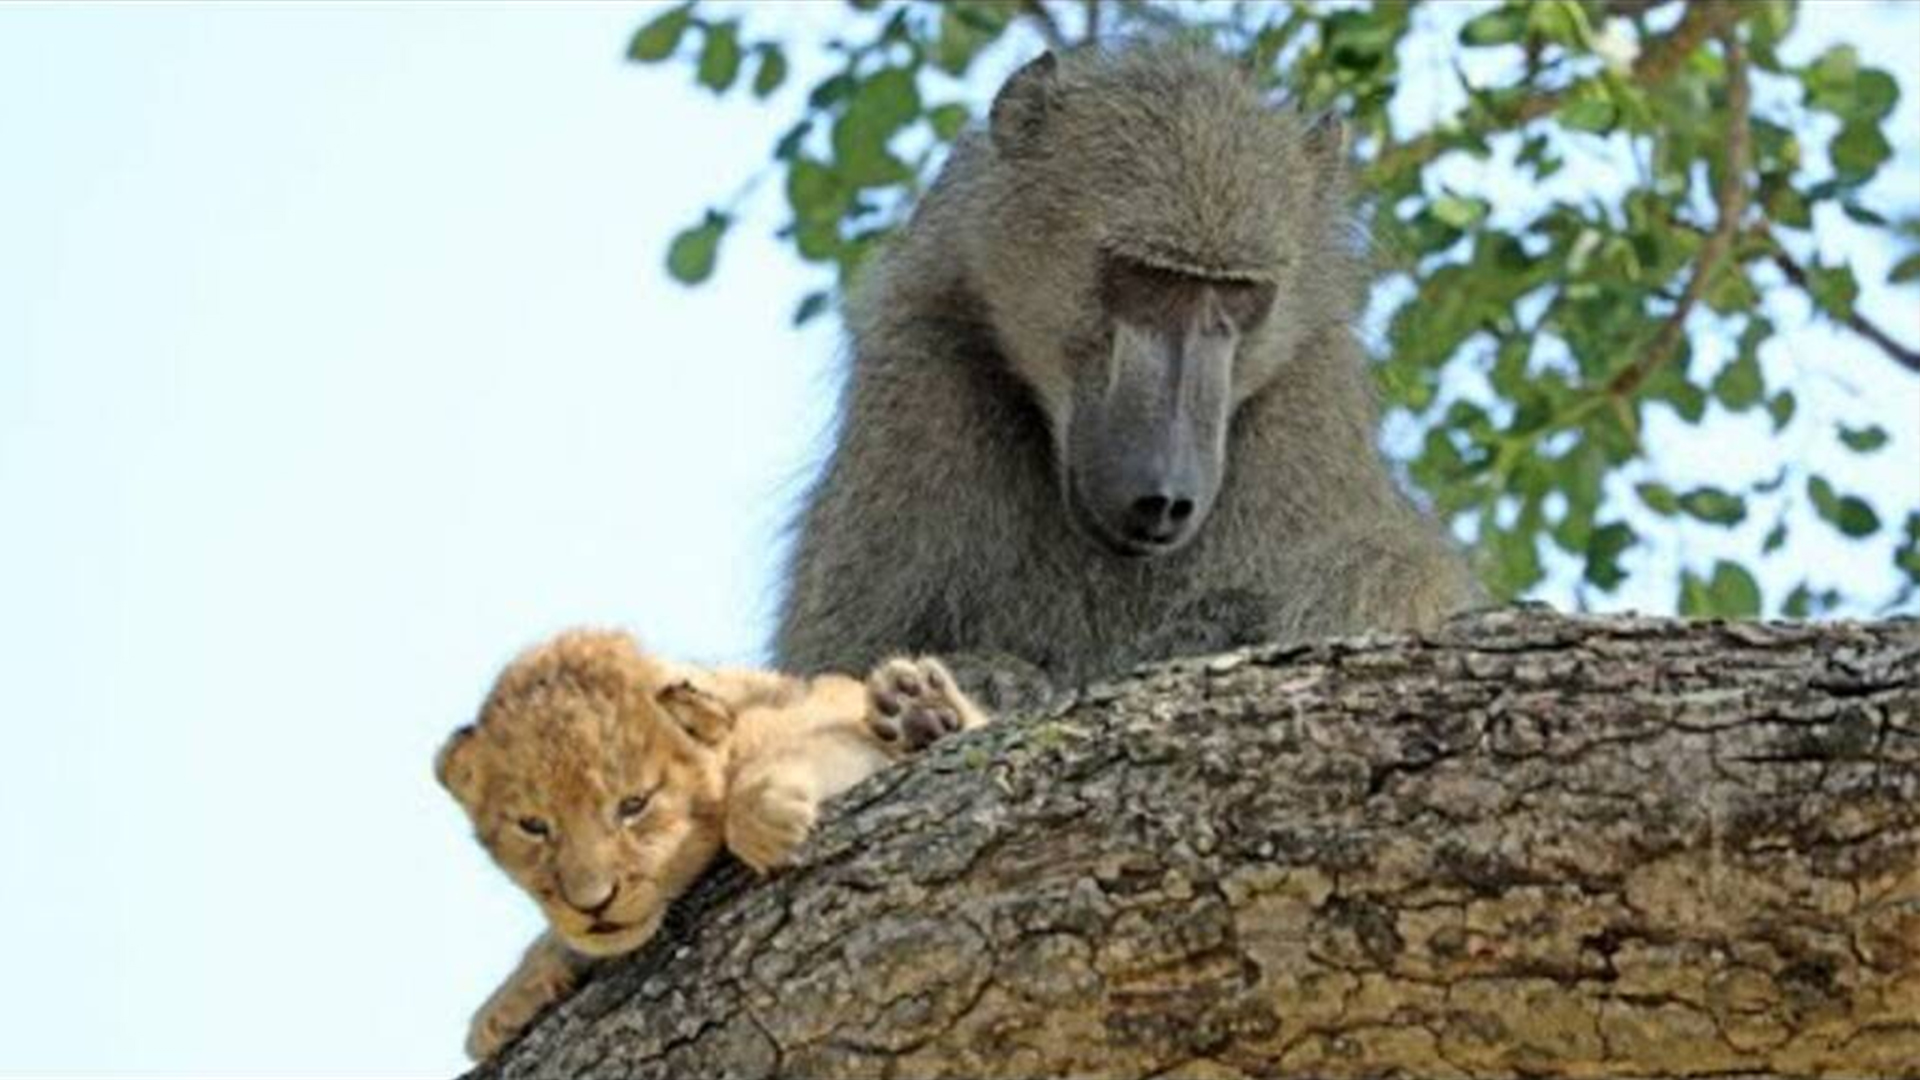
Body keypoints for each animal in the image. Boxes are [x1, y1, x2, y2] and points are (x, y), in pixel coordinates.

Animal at [436, 628, 988, 1060]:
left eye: (634, 805)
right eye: (533, 825)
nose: (593, 904)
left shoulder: (816, 707)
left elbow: (811, 742)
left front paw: (765, 818)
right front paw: (509, 997)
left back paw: (919, 709)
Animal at [774, 41, 1478, 697]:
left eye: (1237, 293)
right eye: (1145, 276)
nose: (1164, 497)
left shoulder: (1310, 398)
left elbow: (1383, 569)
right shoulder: (918, 368)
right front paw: (982, 680)